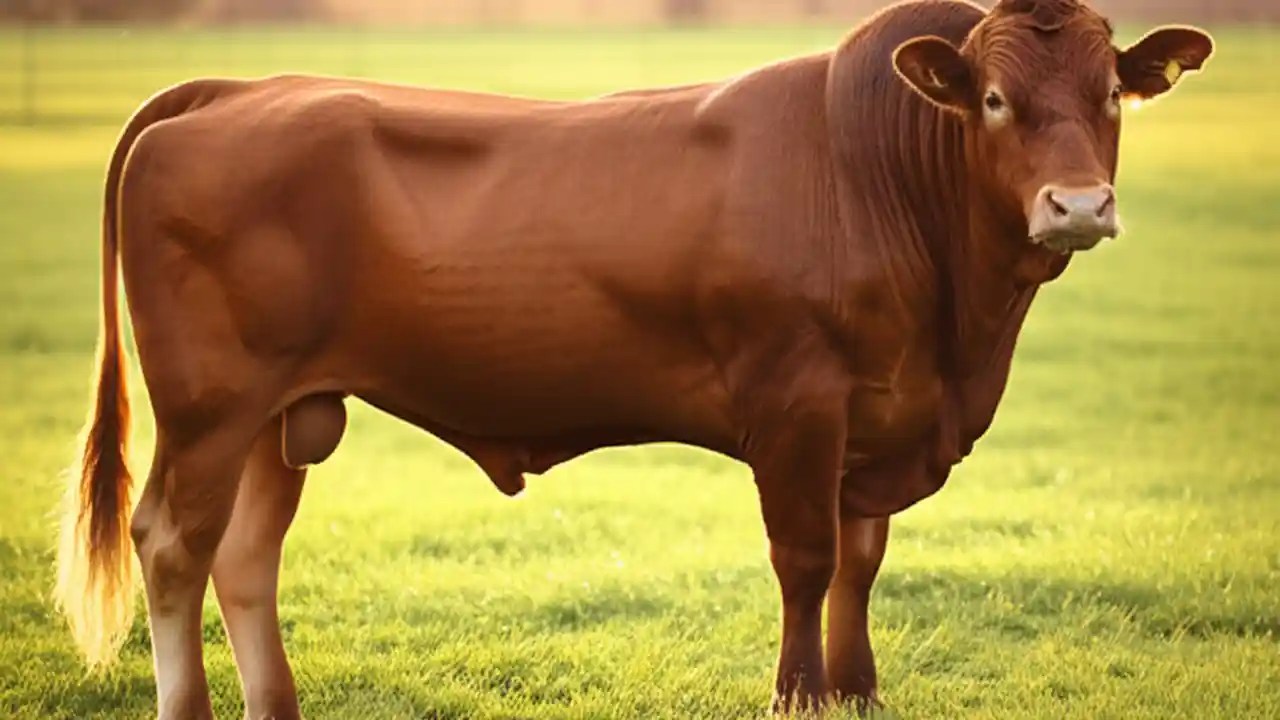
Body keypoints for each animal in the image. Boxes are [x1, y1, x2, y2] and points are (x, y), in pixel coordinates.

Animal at [54, 0, 1211, 716]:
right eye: (994, 100)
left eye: (1112, 94)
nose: (1077, 206)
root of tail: (235, 89)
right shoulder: (798, 403)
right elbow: (806, 559)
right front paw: (797, 693)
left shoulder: (877, 415)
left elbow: (861, 562)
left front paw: (857, 688)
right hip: (209, 405)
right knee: (173, 544)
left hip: (279, 413)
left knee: (246, 556)